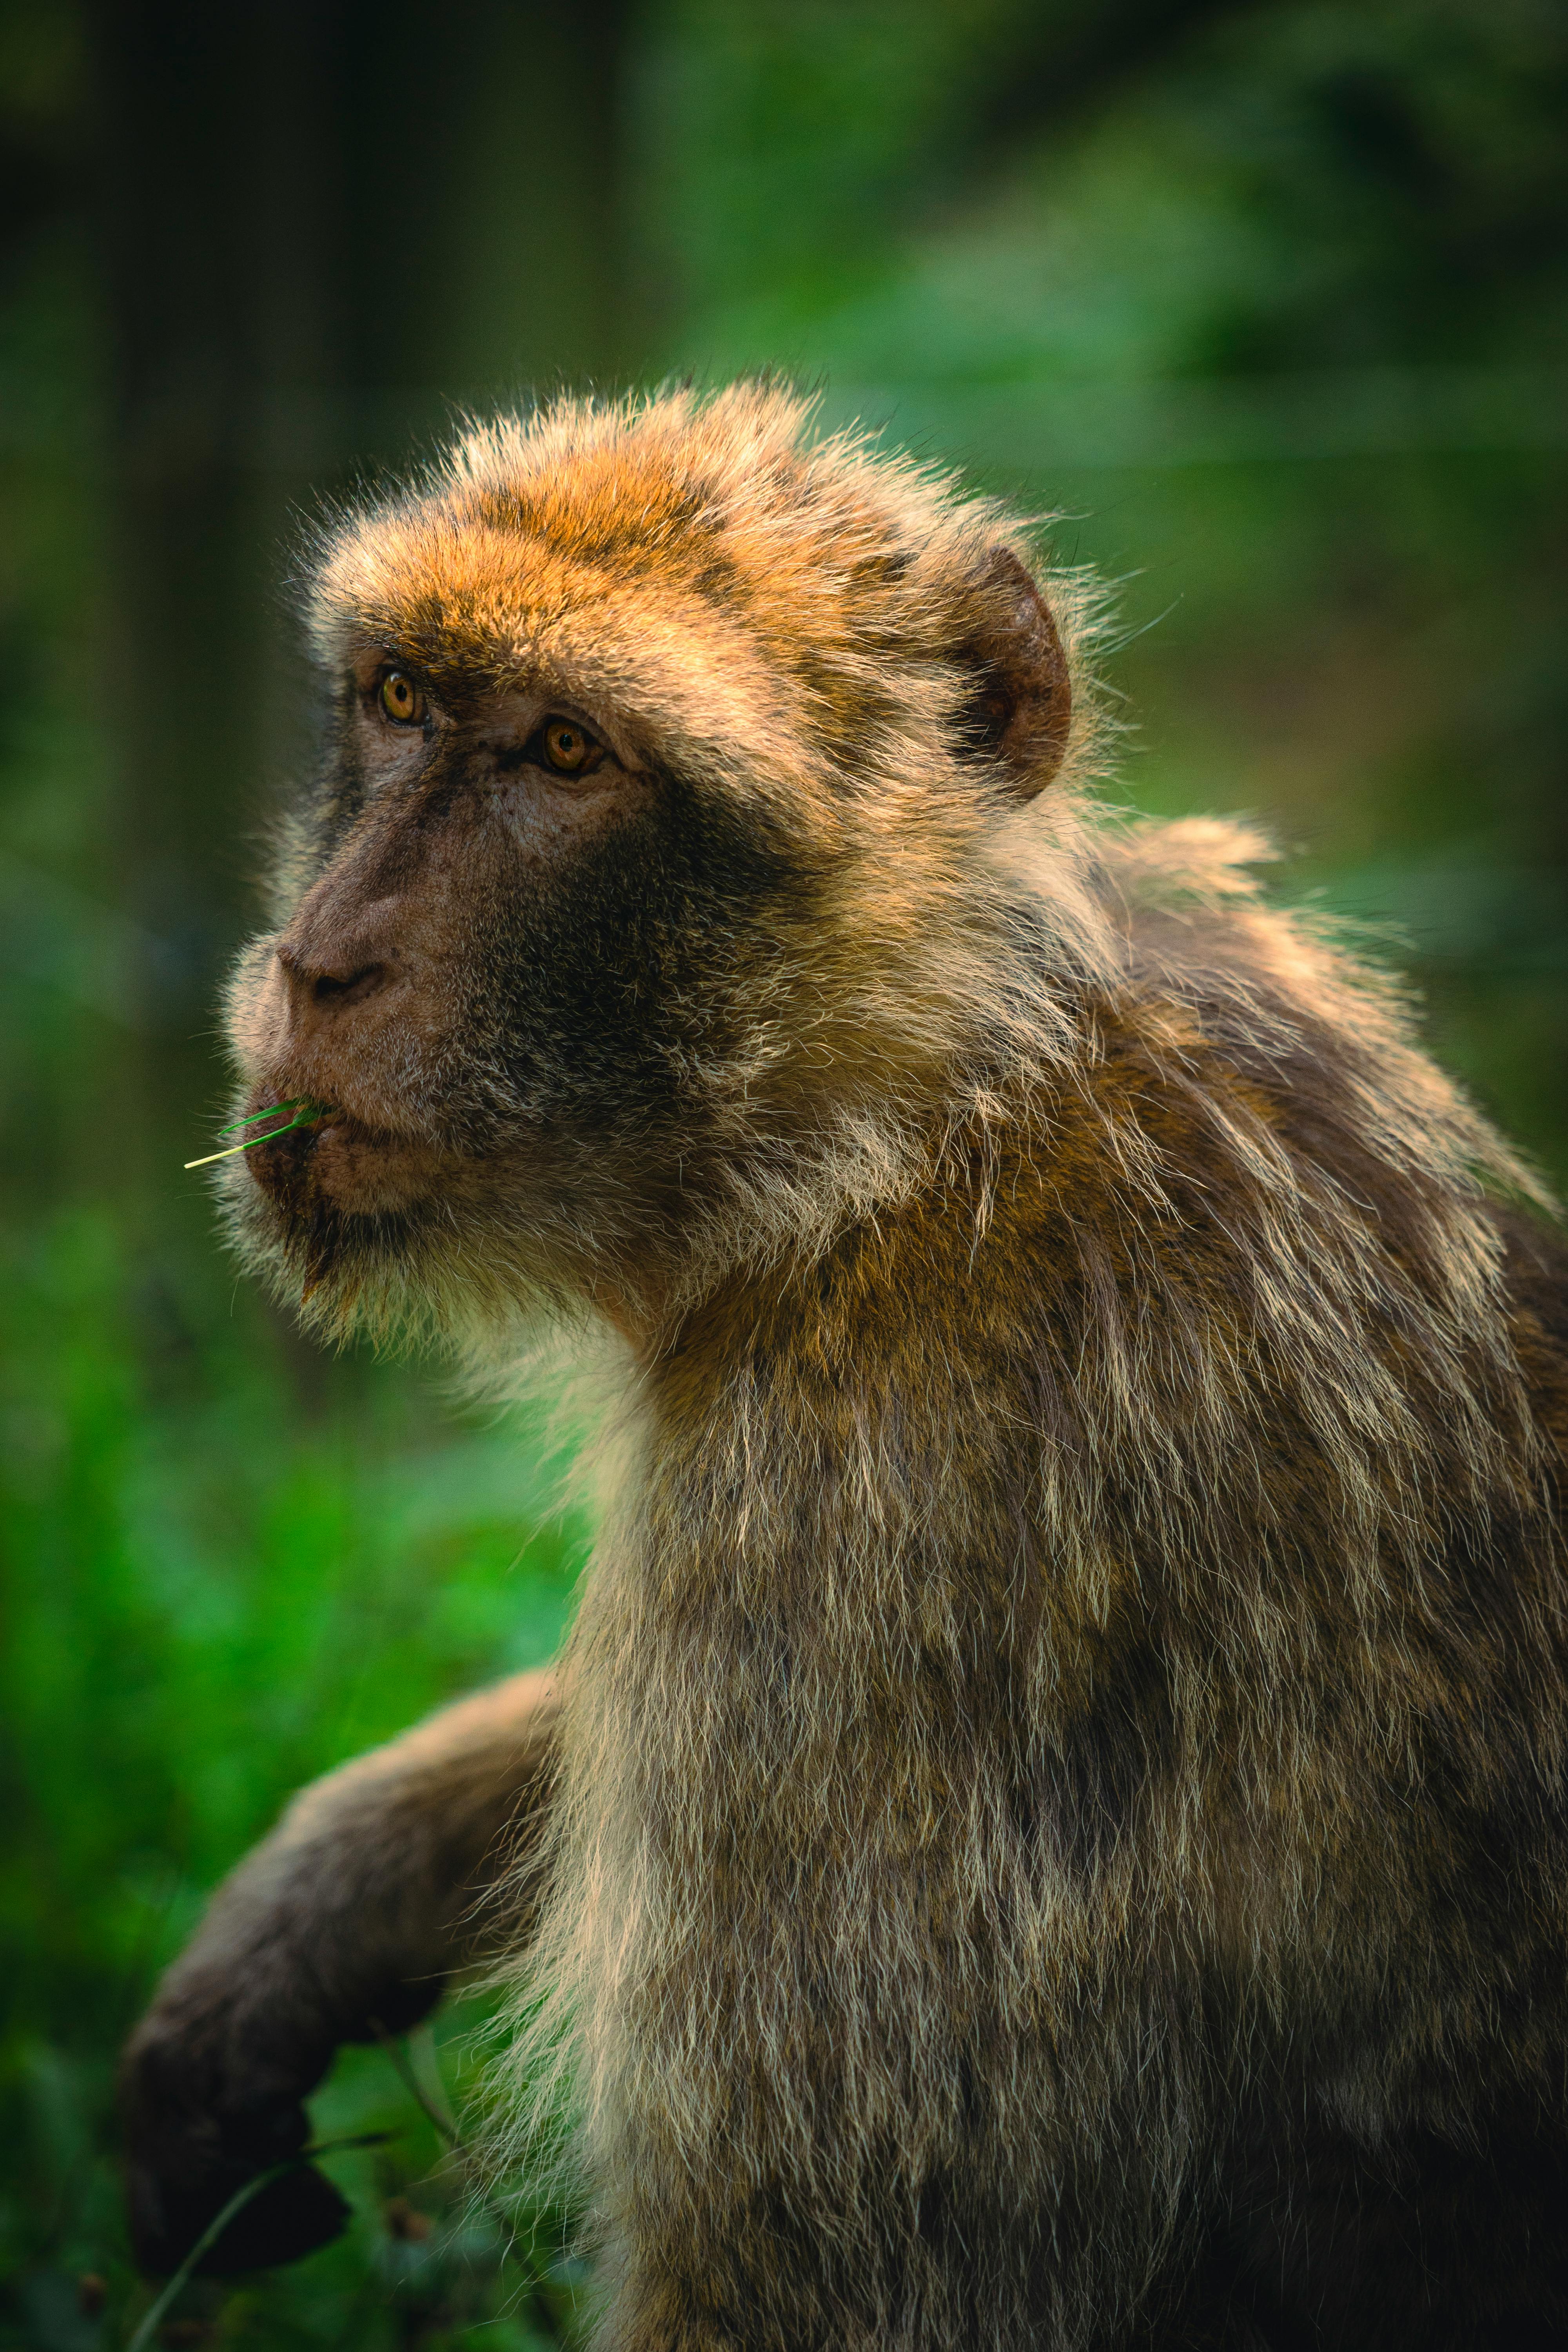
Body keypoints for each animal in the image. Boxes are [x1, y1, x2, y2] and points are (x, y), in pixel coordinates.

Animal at [121, 383, 1568, 2349]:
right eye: (401, 700)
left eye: (567, 754)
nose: (320, 961)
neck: (920, 1126)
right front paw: (321, 1896)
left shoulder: (892, 1512)